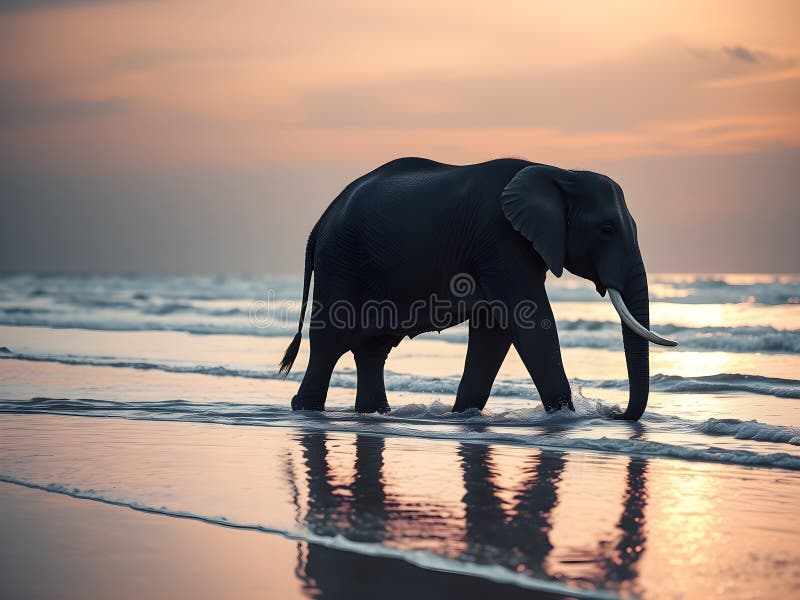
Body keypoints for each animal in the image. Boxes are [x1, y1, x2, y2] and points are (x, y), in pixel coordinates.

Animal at [279, 157, 676, 420]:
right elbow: (530, 321)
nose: (612, 413)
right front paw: (565, 417)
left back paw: (375, 413)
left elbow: (495, 331)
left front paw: (463, 414)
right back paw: (307, 409)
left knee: (373, 349)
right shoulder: (499, 238)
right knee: (330, 343)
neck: (559, 172)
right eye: (606, 229)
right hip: (340, 263)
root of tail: (319, 223)